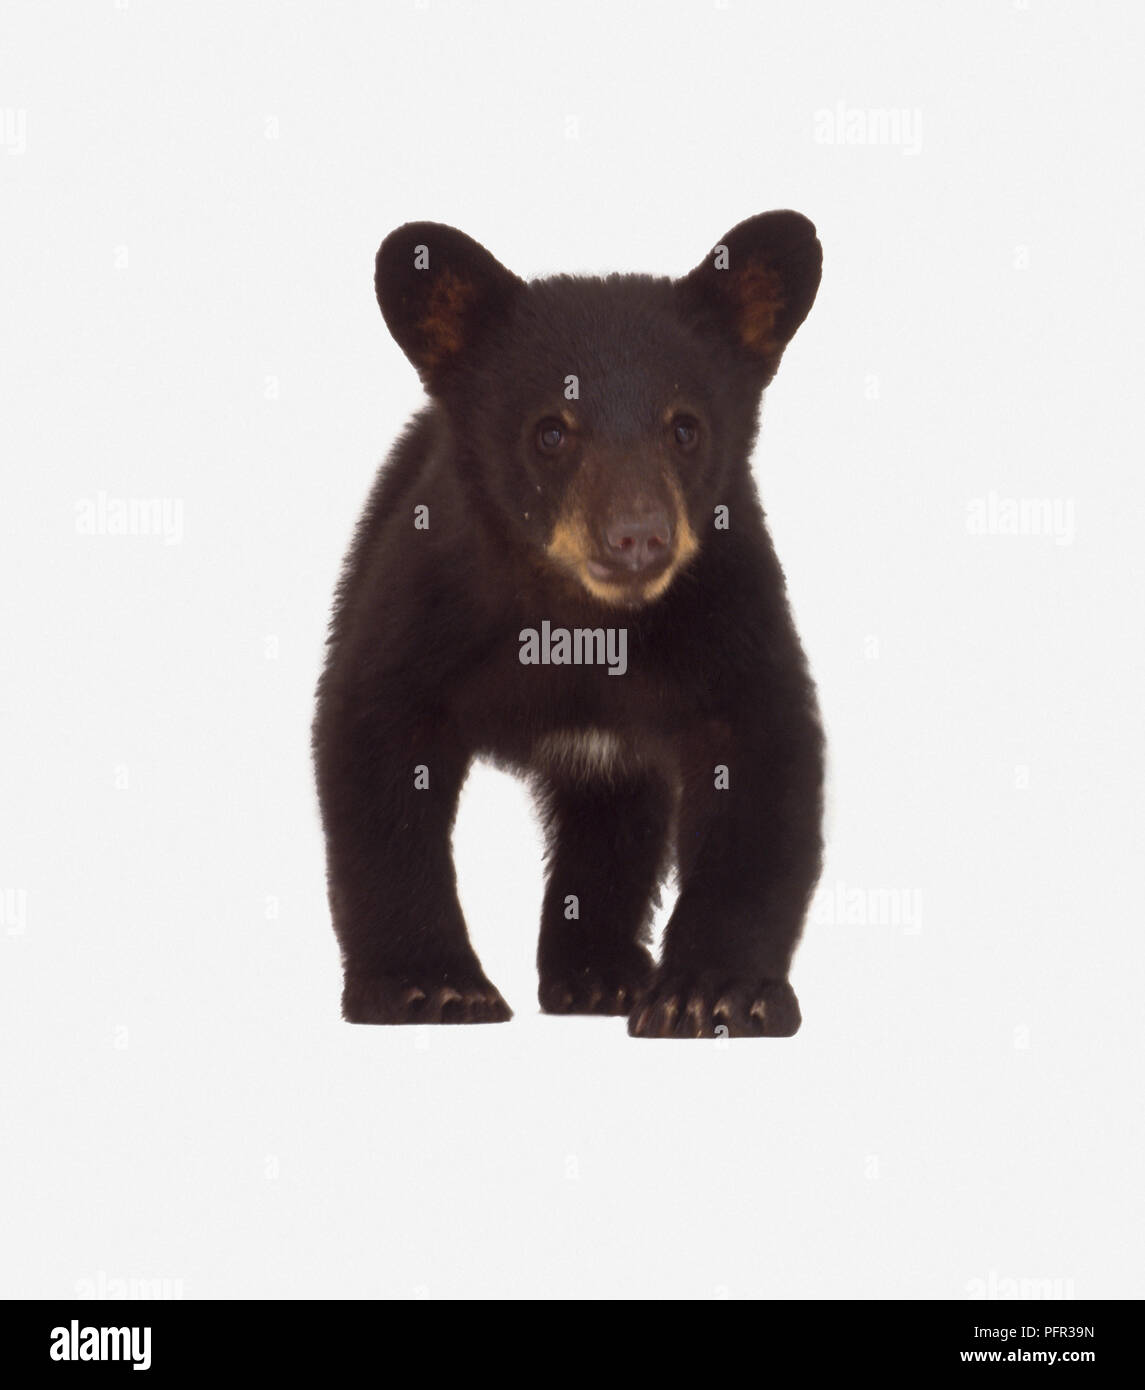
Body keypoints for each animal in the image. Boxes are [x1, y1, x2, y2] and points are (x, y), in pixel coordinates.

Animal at [313, 212, 825, 1037]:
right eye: (550, 431)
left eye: (684, 428)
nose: (636, 537)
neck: (585, 625)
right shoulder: (423, 604)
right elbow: (378, 758)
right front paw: (429, 986)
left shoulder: (730, 610)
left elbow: (760, 768)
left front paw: (714, 992)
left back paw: (601, 978)